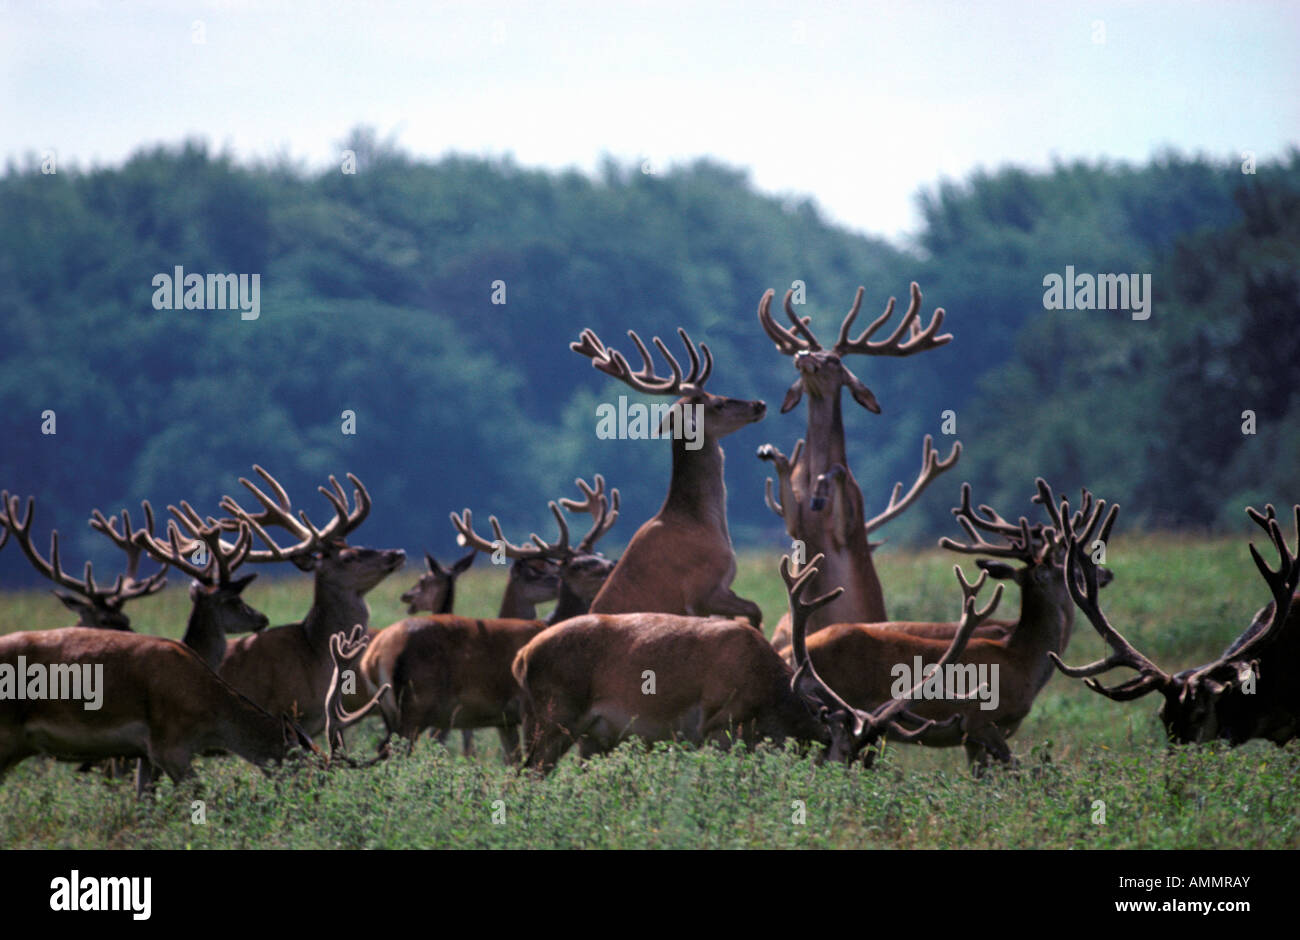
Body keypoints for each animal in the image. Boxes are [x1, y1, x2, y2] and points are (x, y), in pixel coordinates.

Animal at [359, 477, 618, 760]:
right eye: (577, 565)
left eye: (599, 555)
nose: (613, 564)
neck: (550, 624)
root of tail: (375, 656)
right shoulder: (522, 704)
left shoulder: (503, 717)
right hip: (416, 703)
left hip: (393, 710)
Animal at [510, 552, 1000, 775]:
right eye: (837, 750)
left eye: (865, 759)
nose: (842, 789)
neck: (769, 701)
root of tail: (521, 657)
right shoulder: (718, 725)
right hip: (553, 719)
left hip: (589, 735)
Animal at [755, 282, 960, 653]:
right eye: (811, 350)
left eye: (834, 359)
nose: (802, 355)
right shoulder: (795, 523)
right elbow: (785, 476)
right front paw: (768, 451)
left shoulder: (847, 526)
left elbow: (837, 473)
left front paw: (822, 489)